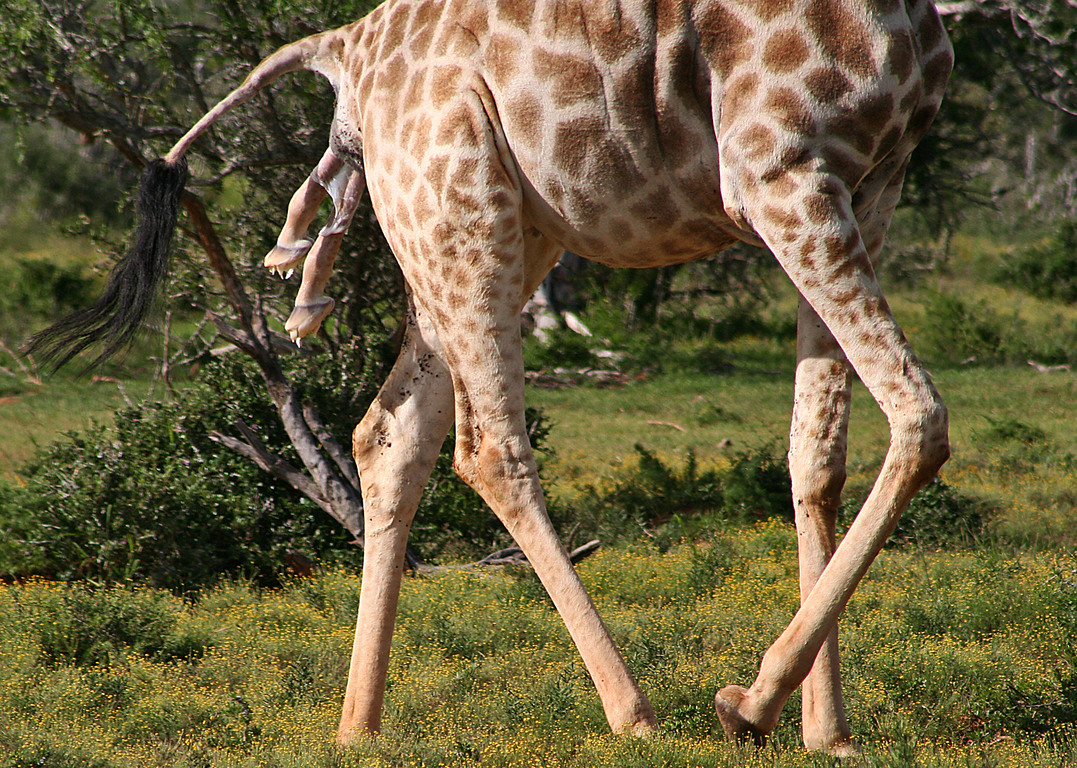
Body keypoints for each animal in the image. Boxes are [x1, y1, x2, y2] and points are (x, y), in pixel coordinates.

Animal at [32, 0, 955, 754]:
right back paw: (633, 711)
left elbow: (816, 453)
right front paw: (751, 704)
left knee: (388, 434)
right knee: (489, 449)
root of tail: (344, 45)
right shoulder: (777, 167)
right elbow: (919, 416)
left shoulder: (869, 184)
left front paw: (825, 731)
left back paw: (358, 726)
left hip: (472, 222)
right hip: (467, 209)